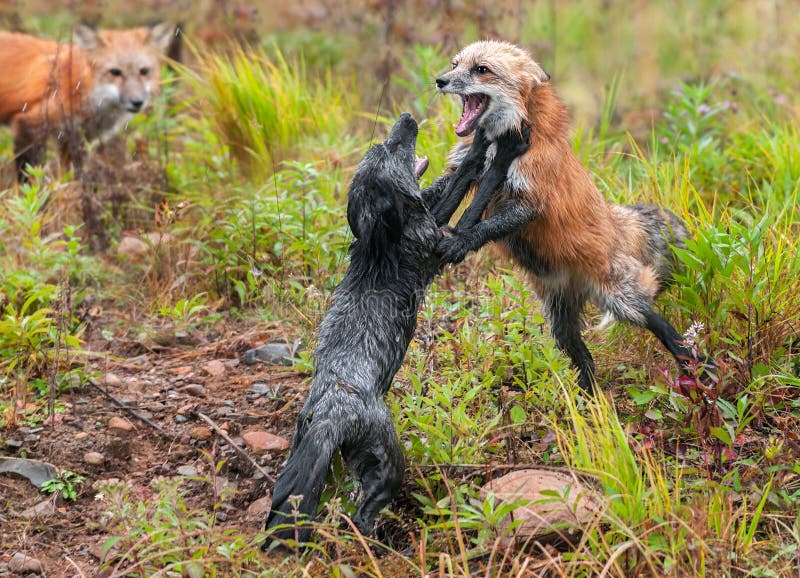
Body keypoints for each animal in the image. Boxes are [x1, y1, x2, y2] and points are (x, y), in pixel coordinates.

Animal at [0, 22, 175, 181]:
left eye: (144, 71)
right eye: (115, 72)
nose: (137, 102)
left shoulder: (75, 139)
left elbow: (73, 175)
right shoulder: (28, 124)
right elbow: (28, 177)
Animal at [433, 40, 713, 394]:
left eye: (481, 69)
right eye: (455, 64)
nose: (440, 80)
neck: (507, 137)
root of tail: (616, 224)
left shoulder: (530, 199)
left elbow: (482, 225)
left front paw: (461, 241)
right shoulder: (460, 169)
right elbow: (436, 200)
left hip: (625, 302)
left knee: (669, 333)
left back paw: (707, 377)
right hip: (561, 322)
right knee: (585, 360)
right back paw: (588, 401)